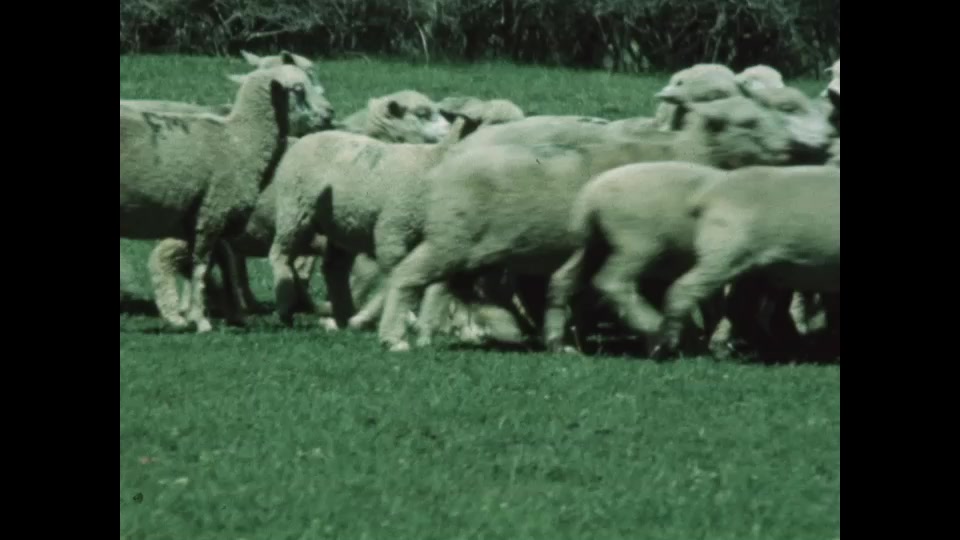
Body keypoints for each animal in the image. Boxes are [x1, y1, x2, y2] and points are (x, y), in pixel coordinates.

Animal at [120, 55, 327, 333]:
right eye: (298, 89)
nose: (329, 114)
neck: (241, 139)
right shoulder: (211, 212)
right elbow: (201, 267)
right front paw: (201, 319)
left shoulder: (218, 217)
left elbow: (224, 265)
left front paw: (235, 314)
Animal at [268, 110, 483, 331]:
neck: (433, 161)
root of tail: (306, 138)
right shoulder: (392, 232)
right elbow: (395, 277)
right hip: (294, 211)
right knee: (281, 255)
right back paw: (287, 306)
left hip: (342, 227)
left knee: (334, 269)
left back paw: (344, 316)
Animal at [651, 165, 840, 359]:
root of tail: (707, 196)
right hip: (727, 251)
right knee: (684, 290)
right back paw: (665, 345)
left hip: (754, 266)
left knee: (738, 308)